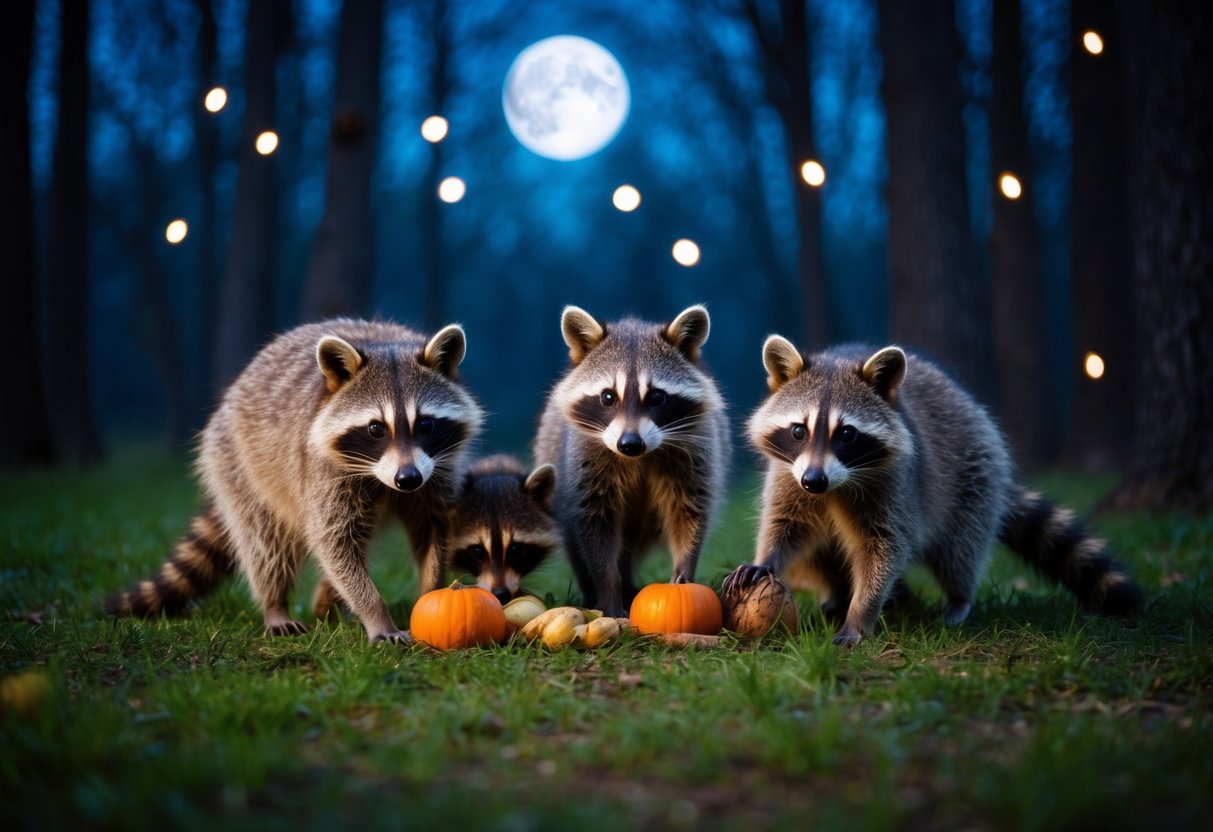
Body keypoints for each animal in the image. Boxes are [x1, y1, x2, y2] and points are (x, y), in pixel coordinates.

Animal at [105, 319, 483, 643]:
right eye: (376, 428)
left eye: (426, 425)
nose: (407, 479)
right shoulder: (323, 472)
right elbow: (331, 540)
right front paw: (375, 613)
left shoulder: (437, 472)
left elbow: (432, 529)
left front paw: (430, 592)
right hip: (238, 462)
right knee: (266, 541)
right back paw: (275, 604)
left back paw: (326, 595)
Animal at [534, 305, 729, 617]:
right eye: (608, 397)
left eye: (657, 397)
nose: (629, 444)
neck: (640, 457)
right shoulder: (582, 460)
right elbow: (594, 526)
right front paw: (608, 592)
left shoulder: (698, 451)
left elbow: (690, 513)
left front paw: (684, 570)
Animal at [726, 337, 1143, 646]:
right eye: (799, 430)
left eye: (847, 434)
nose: (814, 481)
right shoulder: (788, 474)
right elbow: (786, 525)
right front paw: (767, 559)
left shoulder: (897, 485)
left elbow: (884, 549)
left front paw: (861, 614)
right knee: (817, 554)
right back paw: (834, 594)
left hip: (975, 476)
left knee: (960, 549)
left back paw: (959, 596)